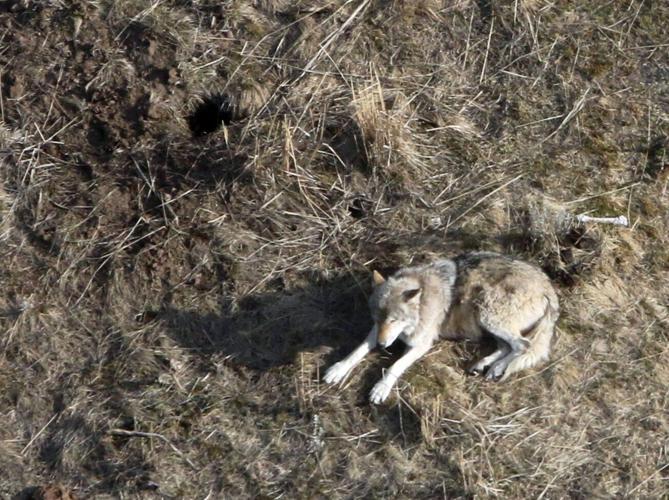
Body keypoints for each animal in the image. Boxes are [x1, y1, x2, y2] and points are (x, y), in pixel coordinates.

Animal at [323, 252, 559, 404]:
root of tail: (549, 287)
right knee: (506, 347)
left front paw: (381, 388)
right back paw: (483, 365)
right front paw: (338, 369)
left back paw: (497, 368)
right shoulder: (377, 331)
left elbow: (395, 366)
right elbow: (358, 350)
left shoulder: (421, 345)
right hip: (484, 320)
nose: (382, 346)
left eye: (394, 320)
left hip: (487, 312)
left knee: (522, 345)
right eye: (378, 318)